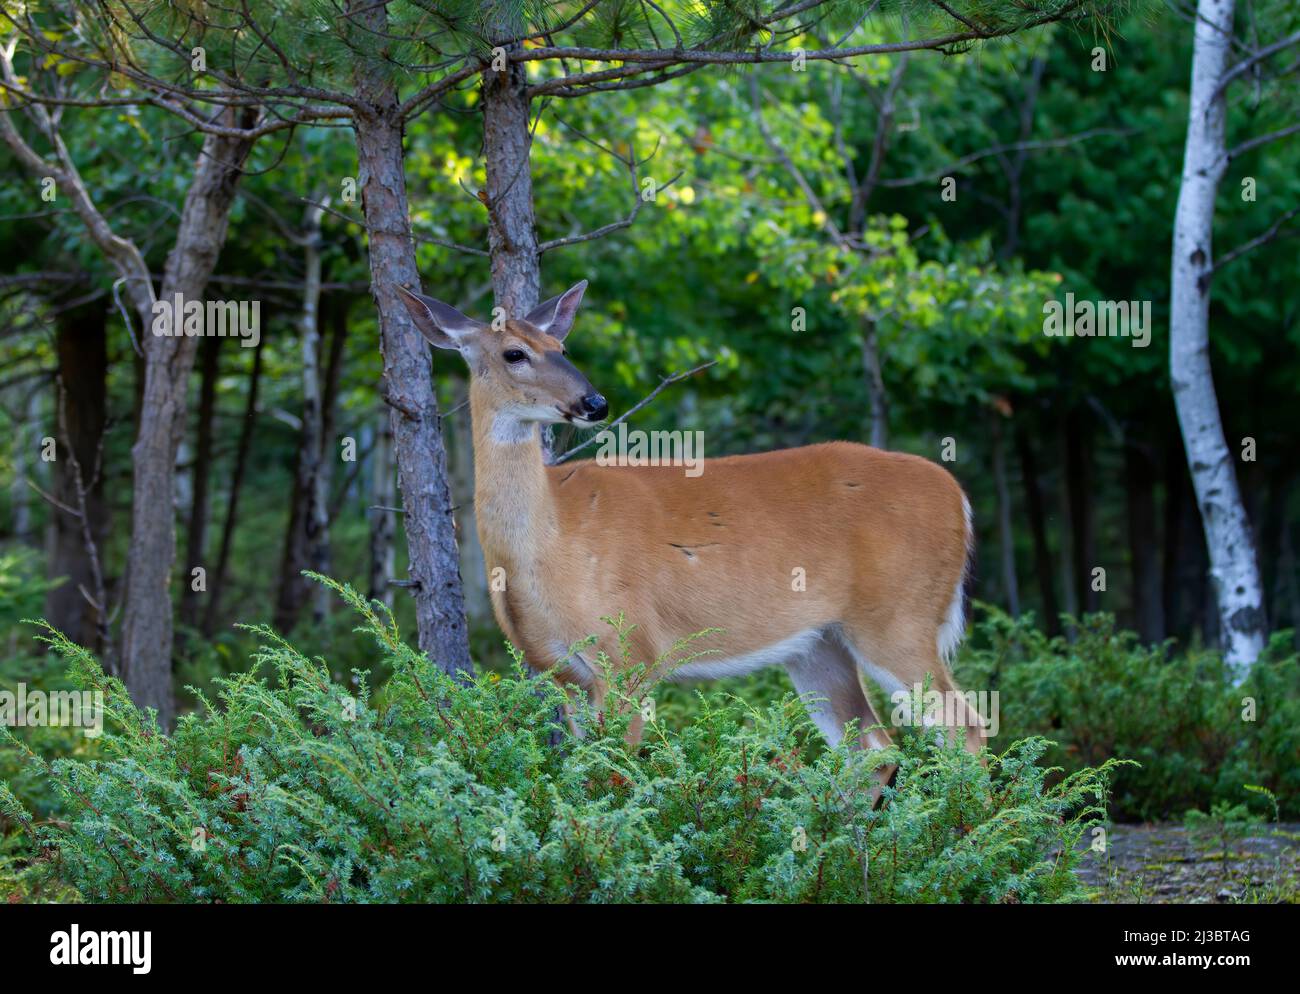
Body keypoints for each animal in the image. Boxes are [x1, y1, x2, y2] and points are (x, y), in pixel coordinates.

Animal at [395, 278, 983, 780]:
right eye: (514, 353)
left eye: (561, 346)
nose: (595, 403)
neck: (548, 543)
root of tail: (957, 496)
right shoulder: (559, 672)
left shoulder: (631, 651)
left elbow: (613, 776)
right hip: (818, 645)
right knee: (874, 749)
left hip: (899, 617)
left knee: (965, 726)